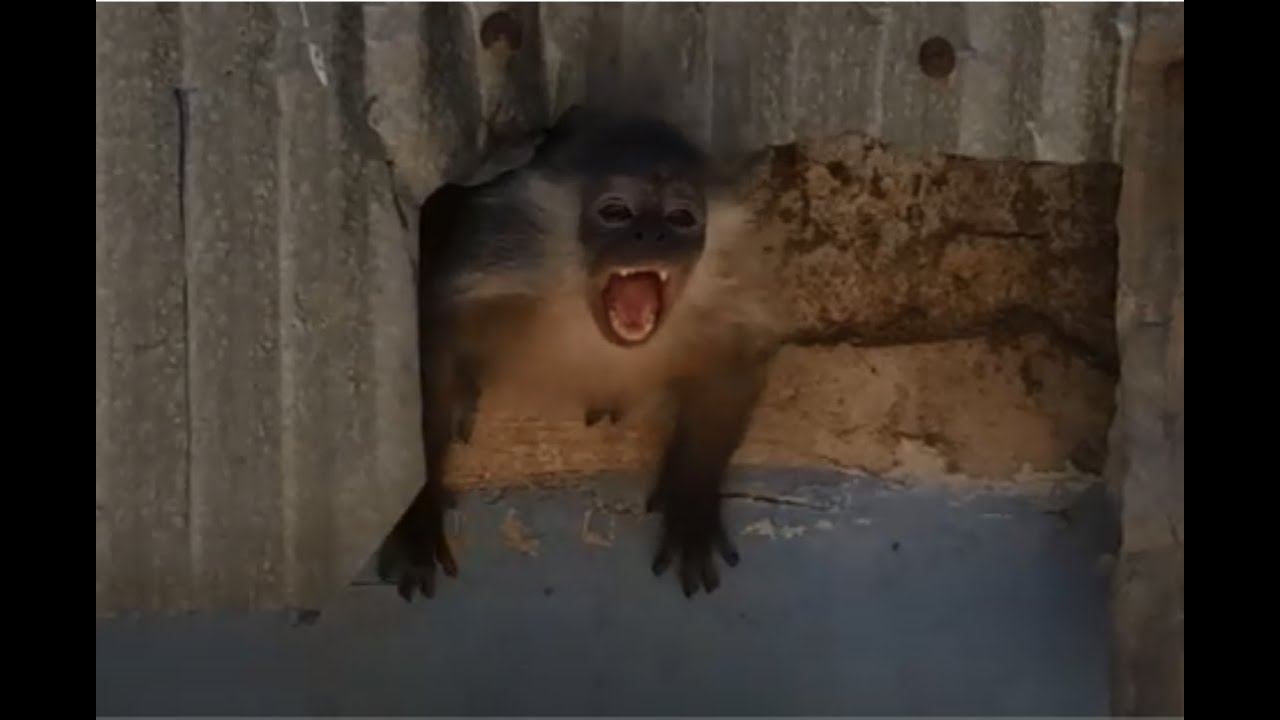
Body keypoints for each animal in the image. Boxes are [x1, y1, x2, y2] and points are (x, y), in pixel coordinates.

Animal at [375, 105, 781, 602]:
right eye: (616, 212)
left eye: (681, 217)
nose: (654, 235)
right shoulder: (498, 271)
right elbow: (431, 356)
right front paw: (417, 510)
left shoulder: (721, 307)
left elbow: (732, 371)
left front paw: (692, 501)